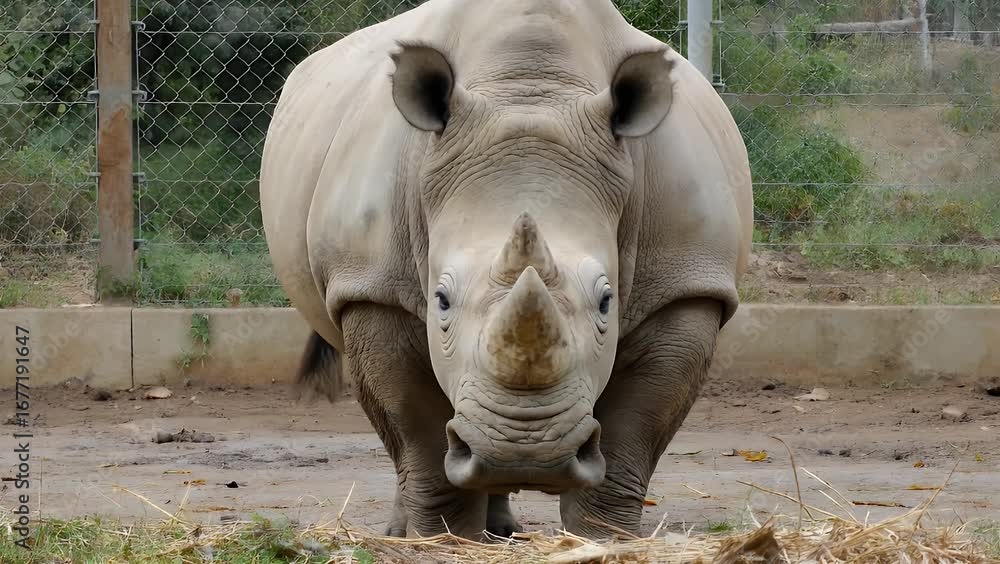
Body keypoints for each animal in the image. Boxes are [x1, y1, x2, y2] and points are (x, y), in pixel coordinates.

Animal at [260, 0, 752, 540]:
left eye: (607, 302)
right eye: (440, 300)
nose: (526, 452)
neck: (529, 92)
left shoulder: (684, 286)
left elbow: (631, 439)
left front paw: (602, 539)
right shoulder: (371, 286)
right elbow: (420, 436)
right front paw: (445, 539)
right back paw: (413, 531)